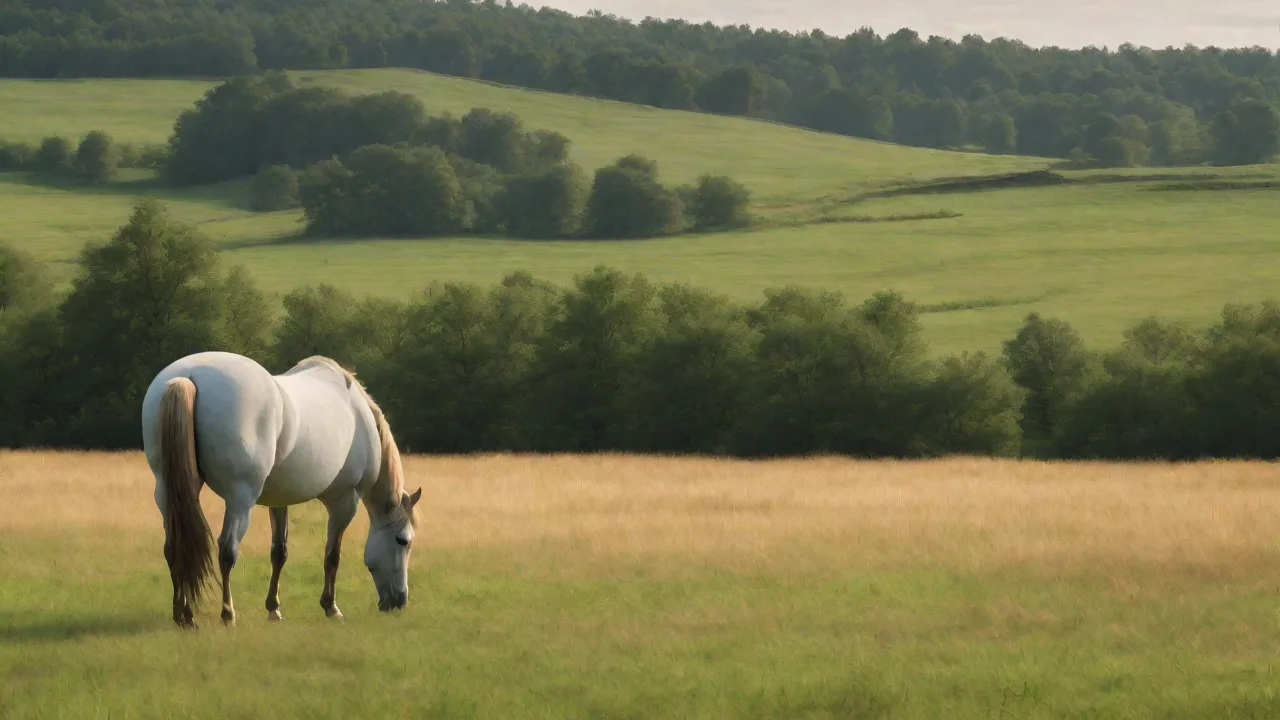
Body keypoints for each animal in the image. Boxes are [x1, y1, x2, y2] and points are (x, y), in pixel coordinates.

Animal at [140, 351, 423, 629]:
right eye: (403, 541)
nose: (399, 601)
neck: (357, 413)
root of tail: (186, 377)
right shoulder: (344, 501)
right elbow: (332, 556)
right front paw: (331, 607)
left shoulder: (278, 501)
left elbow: (279, 552)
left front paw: (273, 608)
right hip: (240, 500)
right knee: (227, 551)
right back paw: (227, 613)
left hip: (167, 492)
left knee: (174, 547)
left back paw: (183, 614)